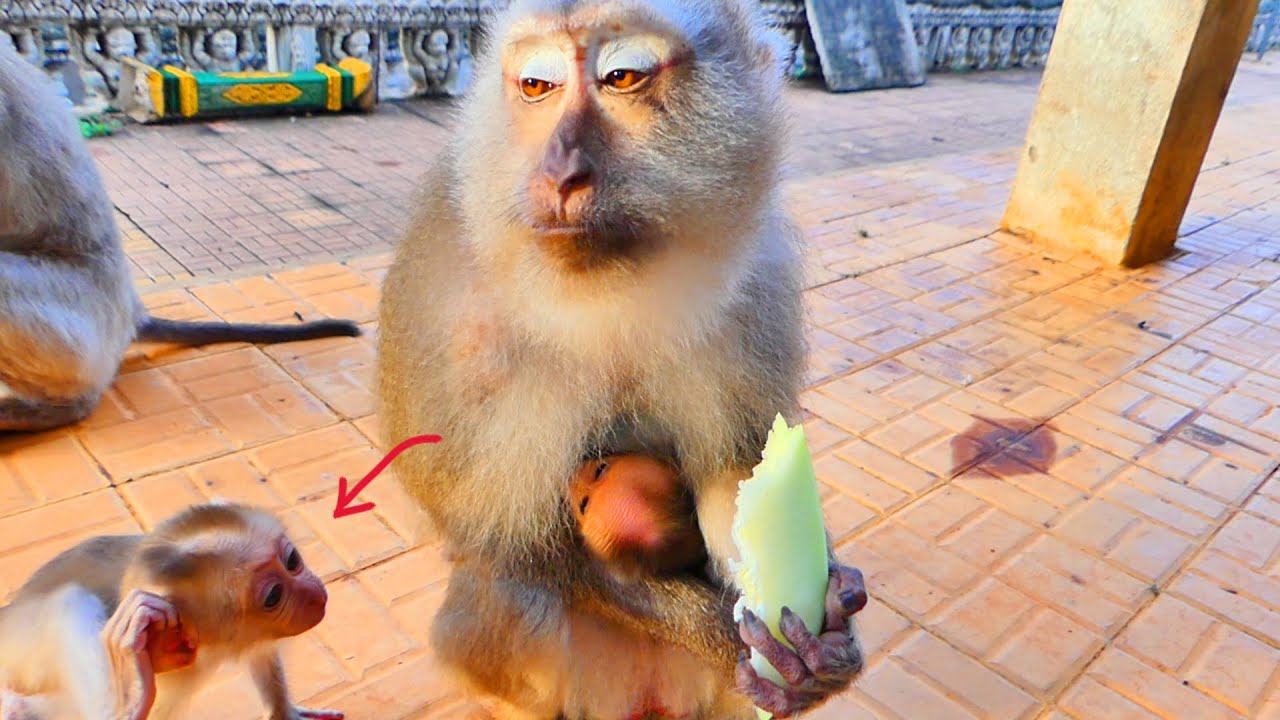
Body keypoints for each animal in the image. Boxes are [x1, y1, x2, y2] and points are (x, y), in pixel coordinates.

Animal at [0, 501, 343, 720]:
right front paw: (128, 698)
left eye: (292, 560)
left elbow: (261, 654)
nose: (315, 593)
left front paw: (284, 712)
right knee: (70, 601)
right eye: (273, 596)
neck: (207, 643)